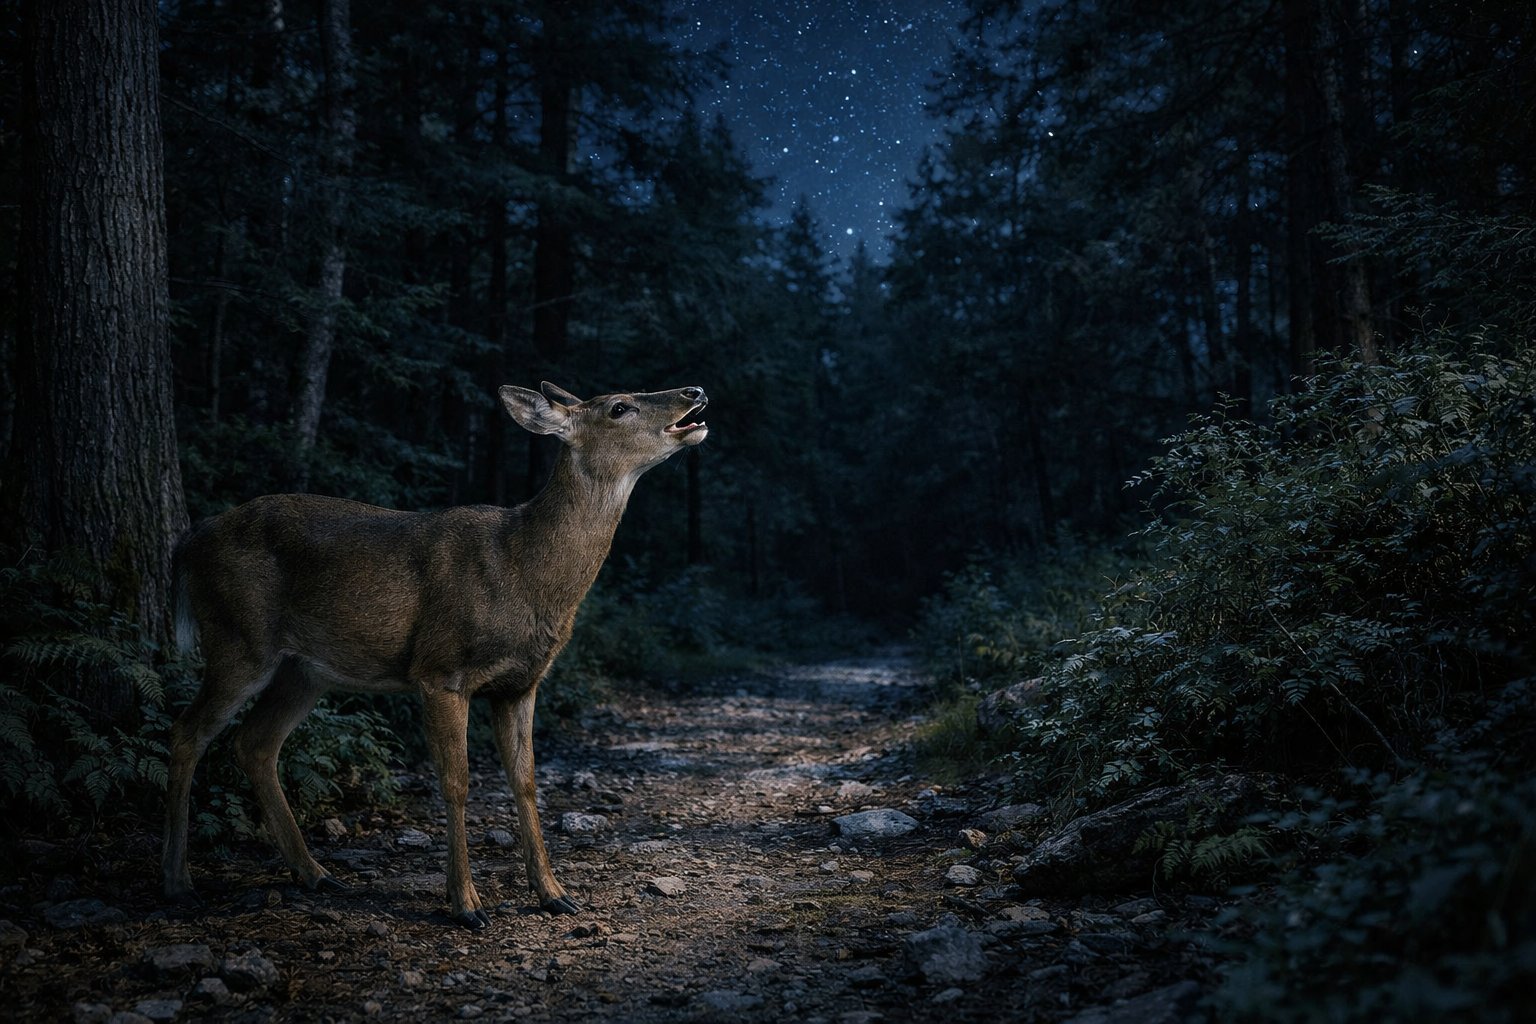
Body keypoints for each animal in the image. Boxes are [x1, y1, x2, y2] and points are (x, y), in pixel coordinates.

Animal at [162, 382, 708, 929]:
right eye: (619, 406)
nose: (695, 391)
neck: (525, 571)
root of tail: (188, 541)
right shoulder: (441, 669)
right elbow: (456, 782)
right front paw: (466, 903)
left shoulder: (521, 683)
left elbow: (526, 781)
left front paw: (554, 893)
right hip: (239, 638)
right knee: (187, 731)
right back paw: (179, 882)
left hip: (304, 671)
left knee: (255, 742)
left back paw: (314, 873)